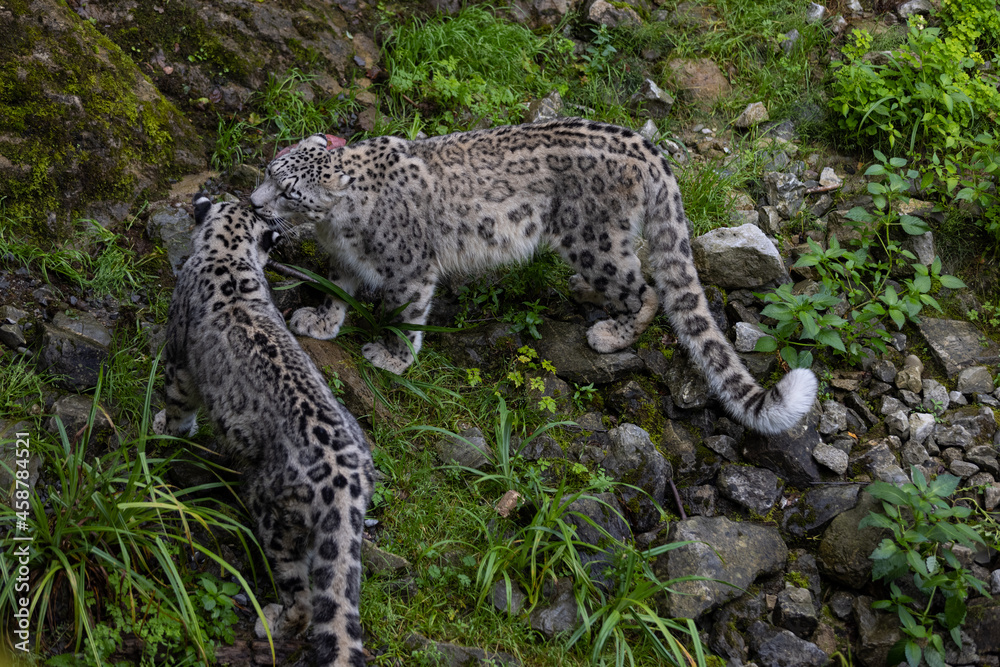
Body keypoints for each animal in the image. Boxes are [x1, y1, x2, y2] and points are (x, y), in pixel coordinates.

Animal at [153, 195, 373, 667]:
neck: (228, 255)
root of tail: (347, 481)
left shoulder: (178, 360)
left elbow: (179, 406)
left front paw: (165, 427)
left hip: (273, 513)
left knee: (303, 596)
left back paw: (271, 620)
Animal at [250, 117, 817, 435]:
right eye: (270, 170)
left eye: (289, 192)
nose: (254, 203)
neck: (336, 228)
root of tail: (648, 150)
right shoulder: (345, 260)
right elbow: (336, 292)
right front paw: (321, 322)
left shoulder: (410, 268)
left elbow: (406, 315)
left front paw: (391, 357)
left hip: (591, 239)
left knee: (647, 289)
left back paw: (612, 332)